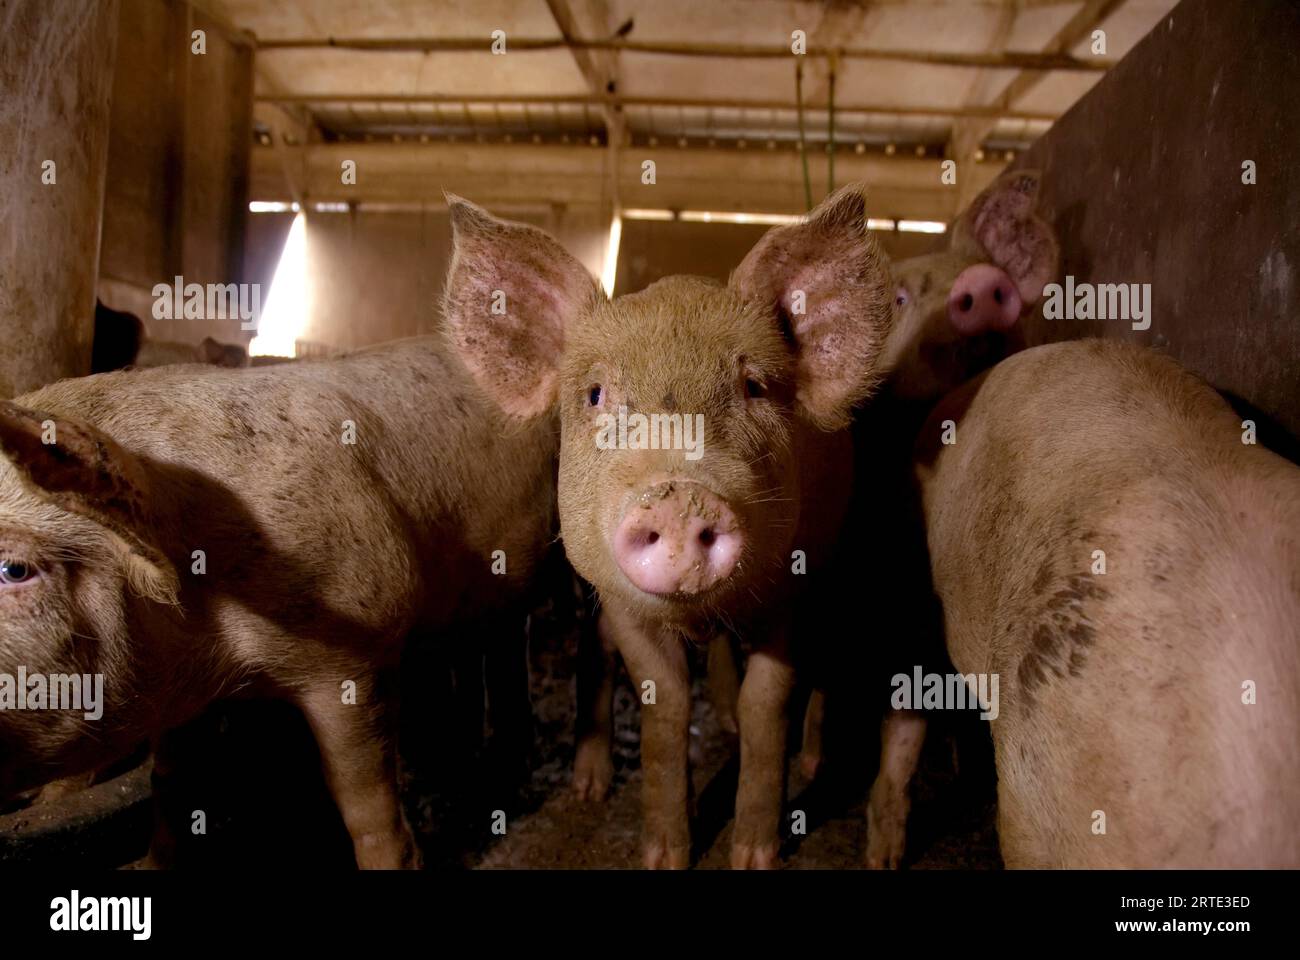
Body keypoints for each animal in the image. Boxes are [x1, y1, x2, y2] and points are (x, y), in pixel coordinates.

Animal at [450, 186, 895, 868]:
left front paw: (754, 856)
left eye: (754, 386)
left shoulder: (791, 589)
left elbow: (767, 703)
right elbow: (665, 700)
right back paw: (588, 788)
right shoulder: (620, 598)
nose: (680, 498)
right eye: (596, 393)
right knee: (596, 648)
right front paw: (662, 856)